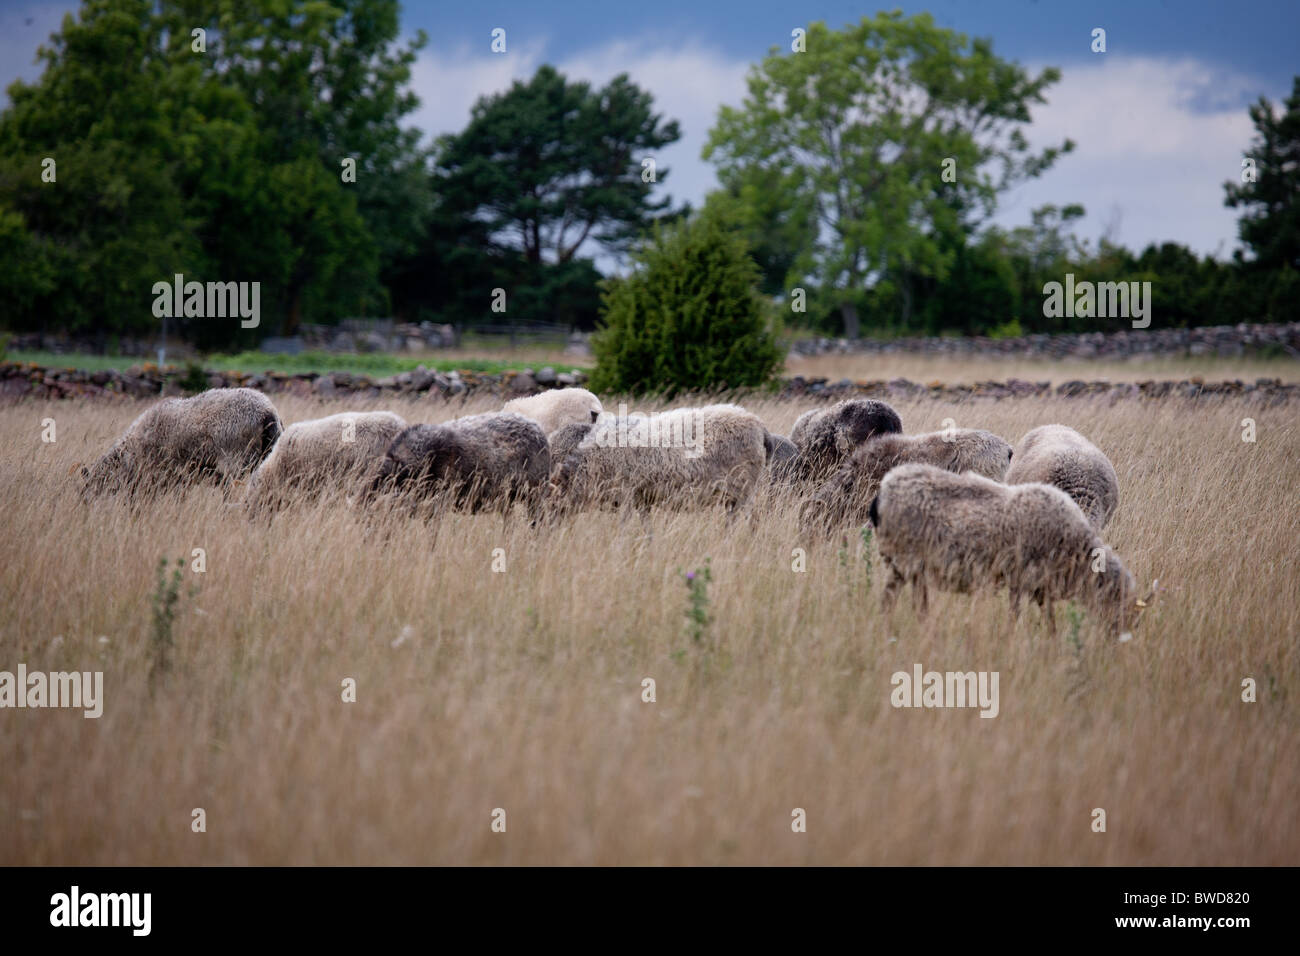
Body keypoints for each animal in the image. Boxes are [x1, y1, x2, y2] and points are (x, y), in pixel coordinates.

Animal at [868, 463, 1153, 637]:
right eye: (1117, 602)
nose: (1120, 640)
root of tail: (883, 492)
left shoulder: (1040, 585)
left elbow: (1048, 619)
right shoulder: (1022, 578)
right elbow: (1016, 615)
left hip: (903, 567)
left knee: (891, 603)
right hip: (908, 561)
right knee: (905, 604)